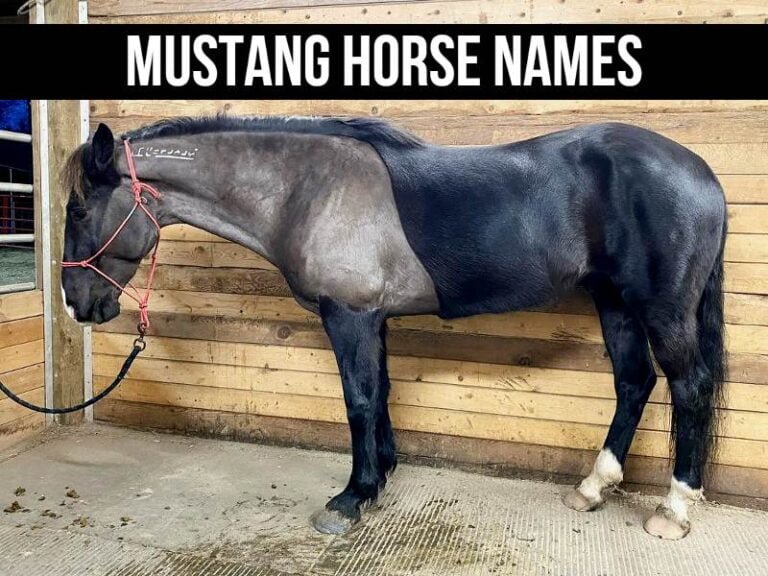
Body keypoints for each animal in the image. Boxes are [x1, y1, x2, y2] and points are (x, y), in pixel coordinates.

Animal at [61, 116, 727, 540]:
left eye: (78, 208)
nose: (76, 304)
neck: (305, 188)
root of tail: (703, 173)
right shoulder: (371, 319)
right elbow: (379, 393)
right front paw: (379, 476)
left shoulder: (350, 315)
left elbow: (357, 398)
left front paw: (351, 497)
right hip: (614, 302)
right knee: (634, 382)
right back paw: (592, 487)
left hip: (660, 309)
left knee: (689, 387)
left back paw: (674, 508)